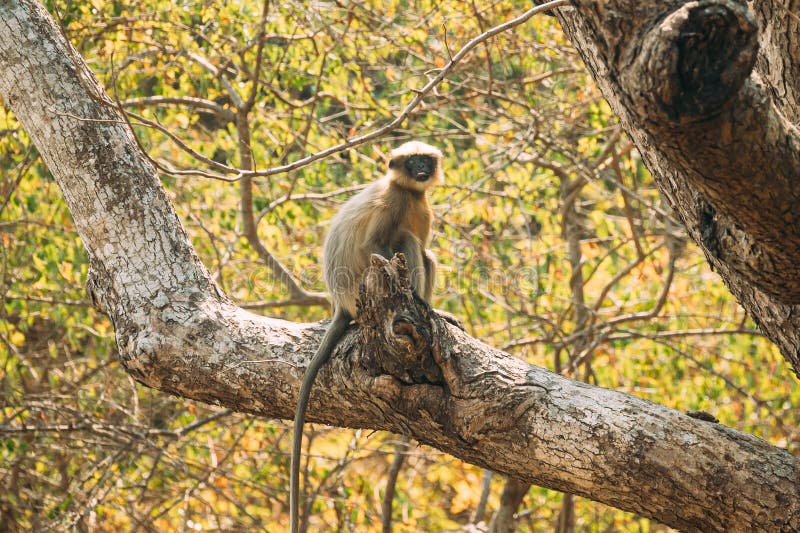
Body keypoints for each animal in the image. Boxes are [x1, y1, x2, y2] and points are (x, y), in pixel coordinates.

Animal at [289, 141, 445, 533]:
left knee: (426, 252)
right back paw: (420, 303)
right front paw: (419, 299)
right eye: (412, 162)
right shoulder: (392, 200)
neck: (410, 193)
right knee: (406, 241)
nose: (421, 169)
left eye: (425, 161)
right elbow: (376, 242)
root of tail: (341, 304)